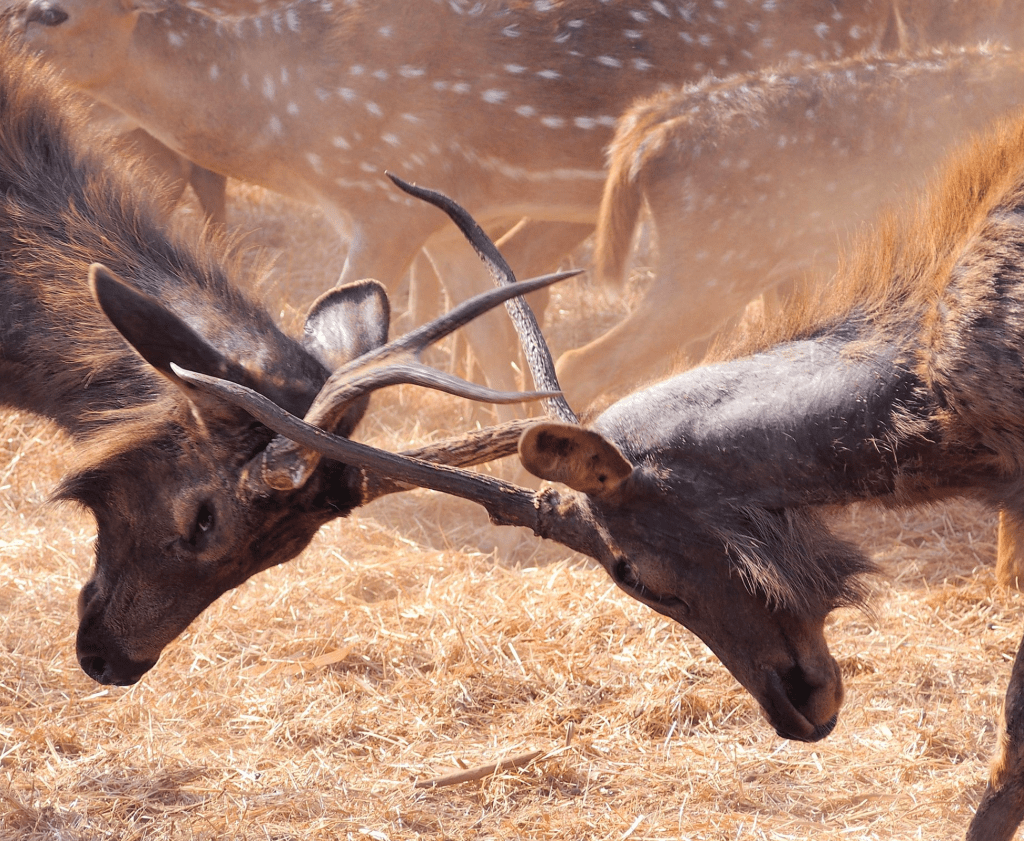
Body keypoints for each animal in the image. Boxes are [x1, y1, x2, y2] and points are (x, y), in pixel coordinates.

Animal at [13, 0, 991, 413]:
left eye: (54, 13)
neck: (287, 119)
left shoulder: (389, 190)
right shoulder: (451, 198)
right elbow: (480, 312)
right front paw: (492, 409)